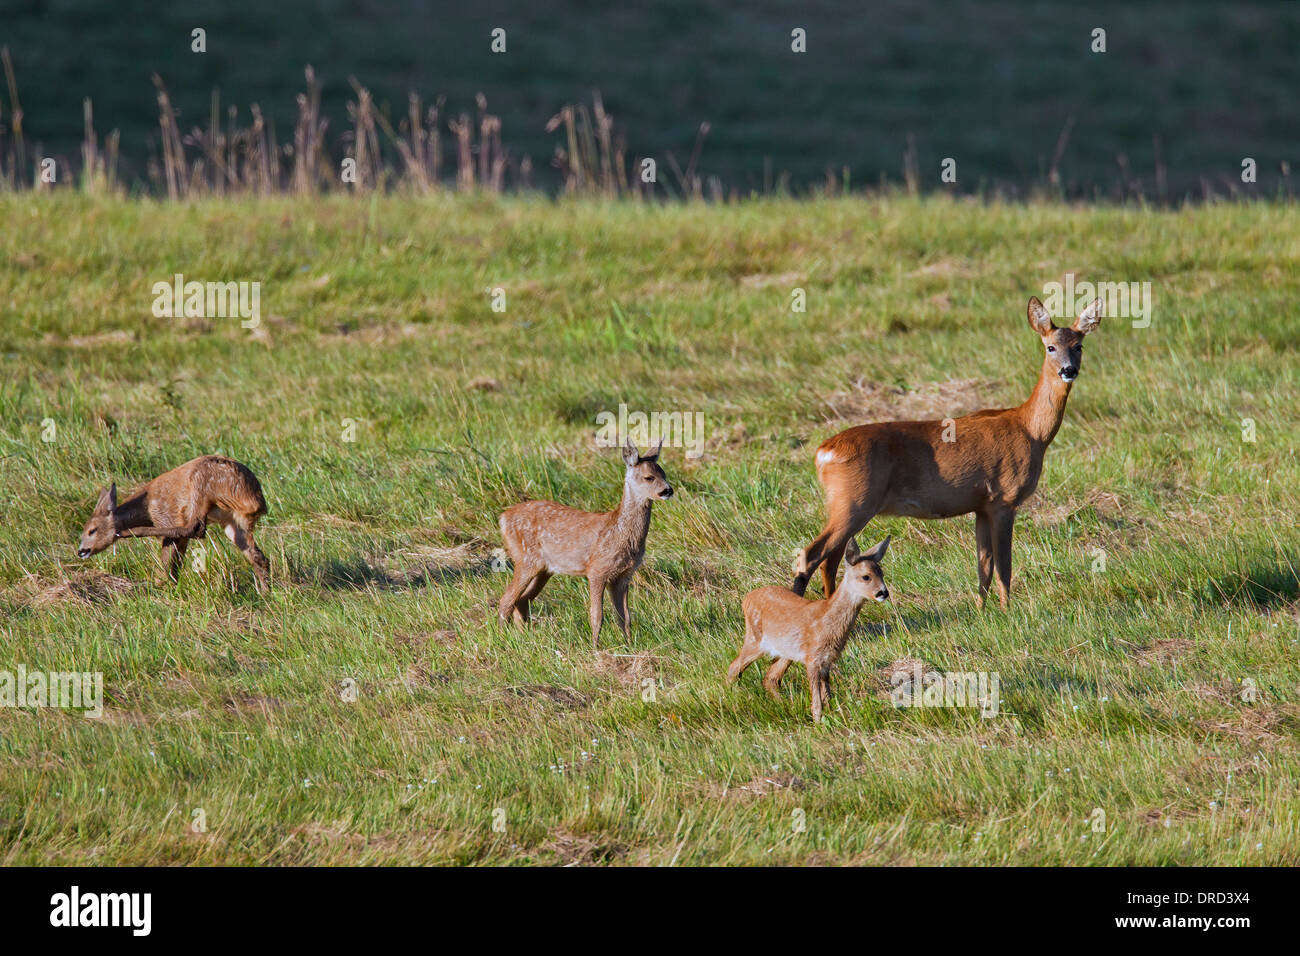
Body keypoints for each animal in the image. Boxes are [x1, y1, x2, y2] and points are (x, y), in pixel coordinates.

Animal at [77, 455, 271, 592]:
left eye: (92, 530)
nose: (81, 551)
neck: (146, 507)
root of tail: (256, 500)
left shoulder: (167, 515)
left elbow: (168, 551)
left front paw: (162, 584)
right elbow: (176, 559)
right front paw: (171, 583)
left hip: (202, 484)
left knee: (196, 528)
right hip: (234, 522)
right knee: (258, 555)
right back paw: (265, 591)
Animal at [497, 439, 673, 648]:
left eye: (663, 473)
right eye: (648, 477)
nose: (668, 490)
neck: (620, 533)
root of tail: (503, 518)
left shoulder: (623, 575)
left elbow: (625, 617)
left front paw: (630, 645)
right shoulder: (597, 570)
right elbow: (597, 615)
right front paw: (595, 648)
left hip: (544, 569)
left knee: (522, 601)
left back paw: (525, 638)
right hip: (525, 559)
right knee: (506, 600)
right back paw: (504, 640)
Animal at [728, 535, 890, 722]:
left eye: (881, 573)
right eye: (866, 577)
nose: (883, 593)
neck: (827, 621)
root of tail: (746, 598)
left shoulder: (827, 659)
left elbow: (827, 695)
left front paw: (832, 716)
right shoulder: (812, 657)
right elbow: (817, 700)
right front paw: (818, 721)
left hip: (785, 652)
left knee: (771, 678)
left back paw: (785, 705)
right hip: (755, 639)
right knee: (734, 667)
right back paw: (730, 698)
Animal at [792, 294, 1102, 609]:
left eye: (1079, 346)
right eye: (1050, 347)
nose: (1068, 370)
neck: (1030, 430)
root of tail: (823, 452)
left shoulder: (981, 505)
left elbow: (984, 566)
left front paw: (982, 611)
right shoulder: (1004, 498)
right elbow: (1004, 567)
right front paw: (1009, 611)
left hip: (845, 505)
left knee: (830, 560)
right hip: (854, 500)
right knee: (811, 555)